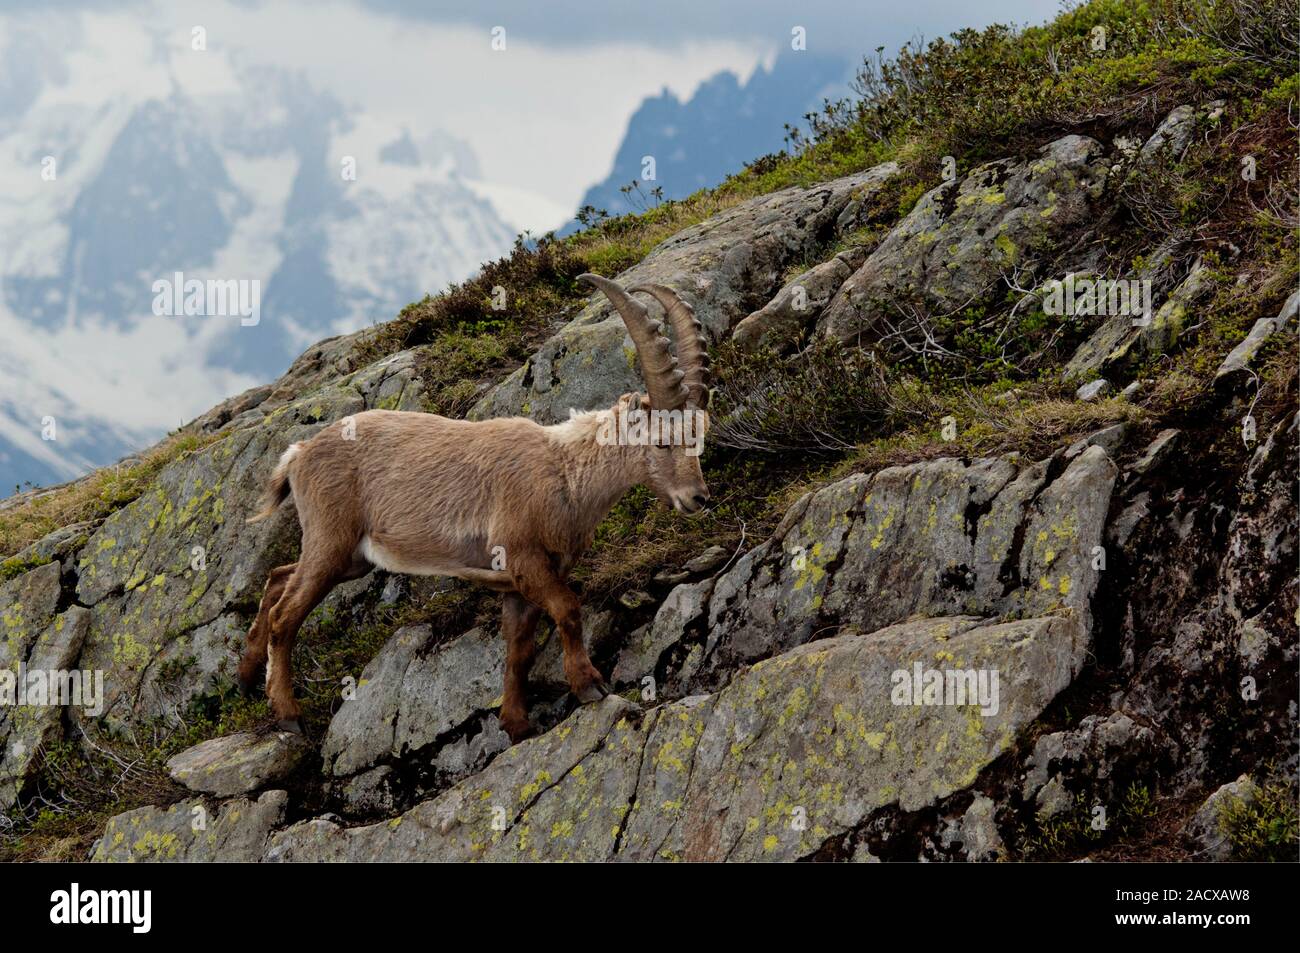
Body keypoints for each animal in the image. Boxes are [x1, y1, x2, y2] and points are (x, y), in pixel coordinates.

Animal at [238, 276, 711, 742]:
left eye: (698, 436)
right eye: (662, 441)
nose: (697, 498)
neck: (564, 476)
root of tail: (298, 453)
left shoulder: (521, 581)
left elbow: (518, 648)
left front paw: (516, 723)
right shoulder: (524, 559)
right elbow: (568, 610)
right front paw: (588, 684)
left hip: (352, 556)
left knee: (278, 577)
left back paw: (246, 675)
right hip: (332, 540)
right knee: (285, 615)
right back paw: (287, 715)